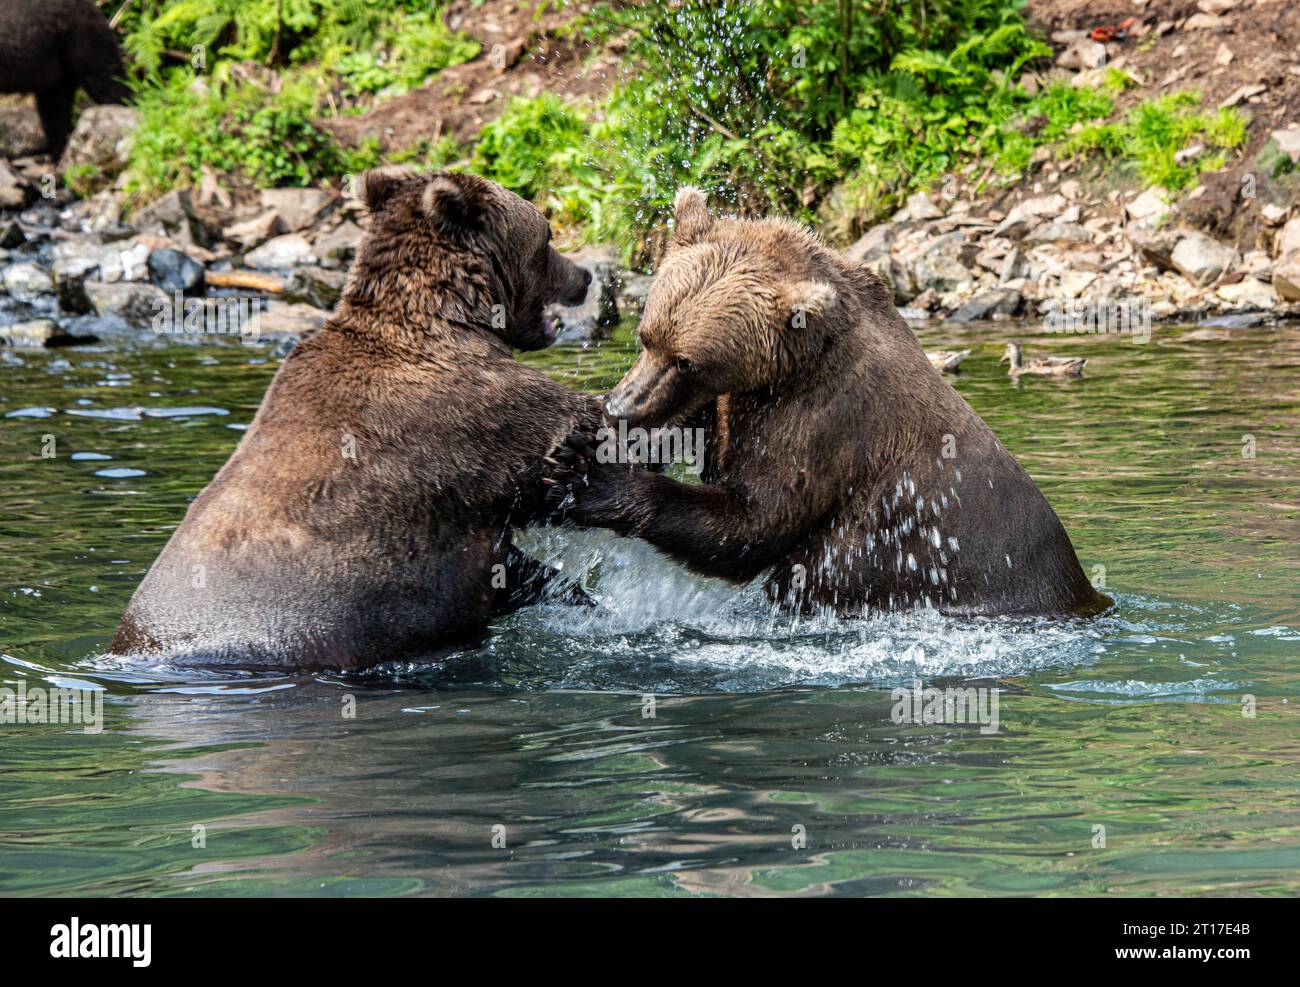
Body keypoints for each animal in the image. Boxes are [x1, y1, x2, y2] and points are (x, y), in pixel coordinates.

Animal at [545, 188, 1112, 619]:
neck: (793, 364)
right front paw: (585, 442)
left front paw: (597, 480)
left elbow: (753, 524)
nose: (622, 406)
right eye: (647, 337)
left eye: (688, 361)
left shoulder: (822, 427)